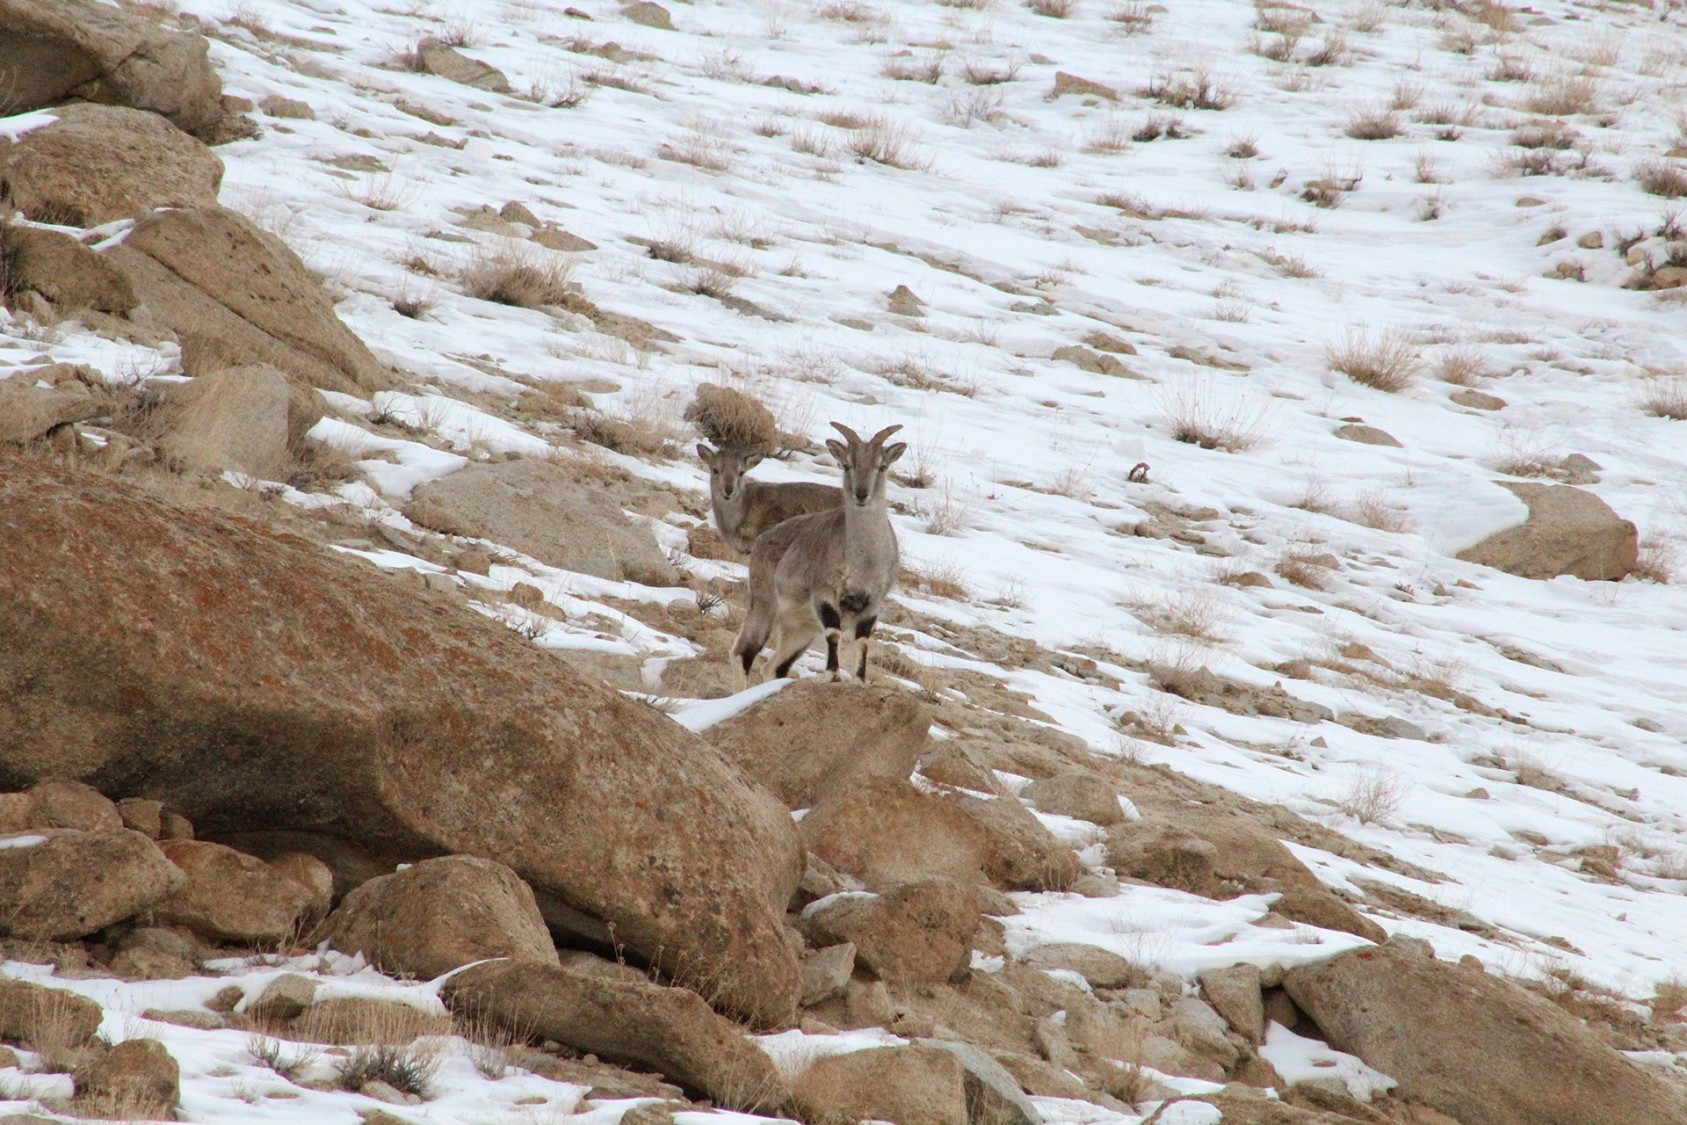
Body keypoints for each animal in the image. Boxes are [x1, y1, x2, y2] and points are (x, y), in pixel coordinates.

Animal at [730, 422, 906, 688]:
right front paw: (833, 675)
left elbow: (863, 642)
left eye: (882, 466)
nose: (861, 494)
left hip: (800, 629)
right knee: (743, 654)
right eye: (847, 464)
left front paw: (859, 680)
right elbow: (834, 632)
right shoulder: (825, 593)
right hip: (764, 605)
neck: (864, 560)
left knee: (775, 667)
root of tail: (762, 541)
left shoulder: (872, 602)